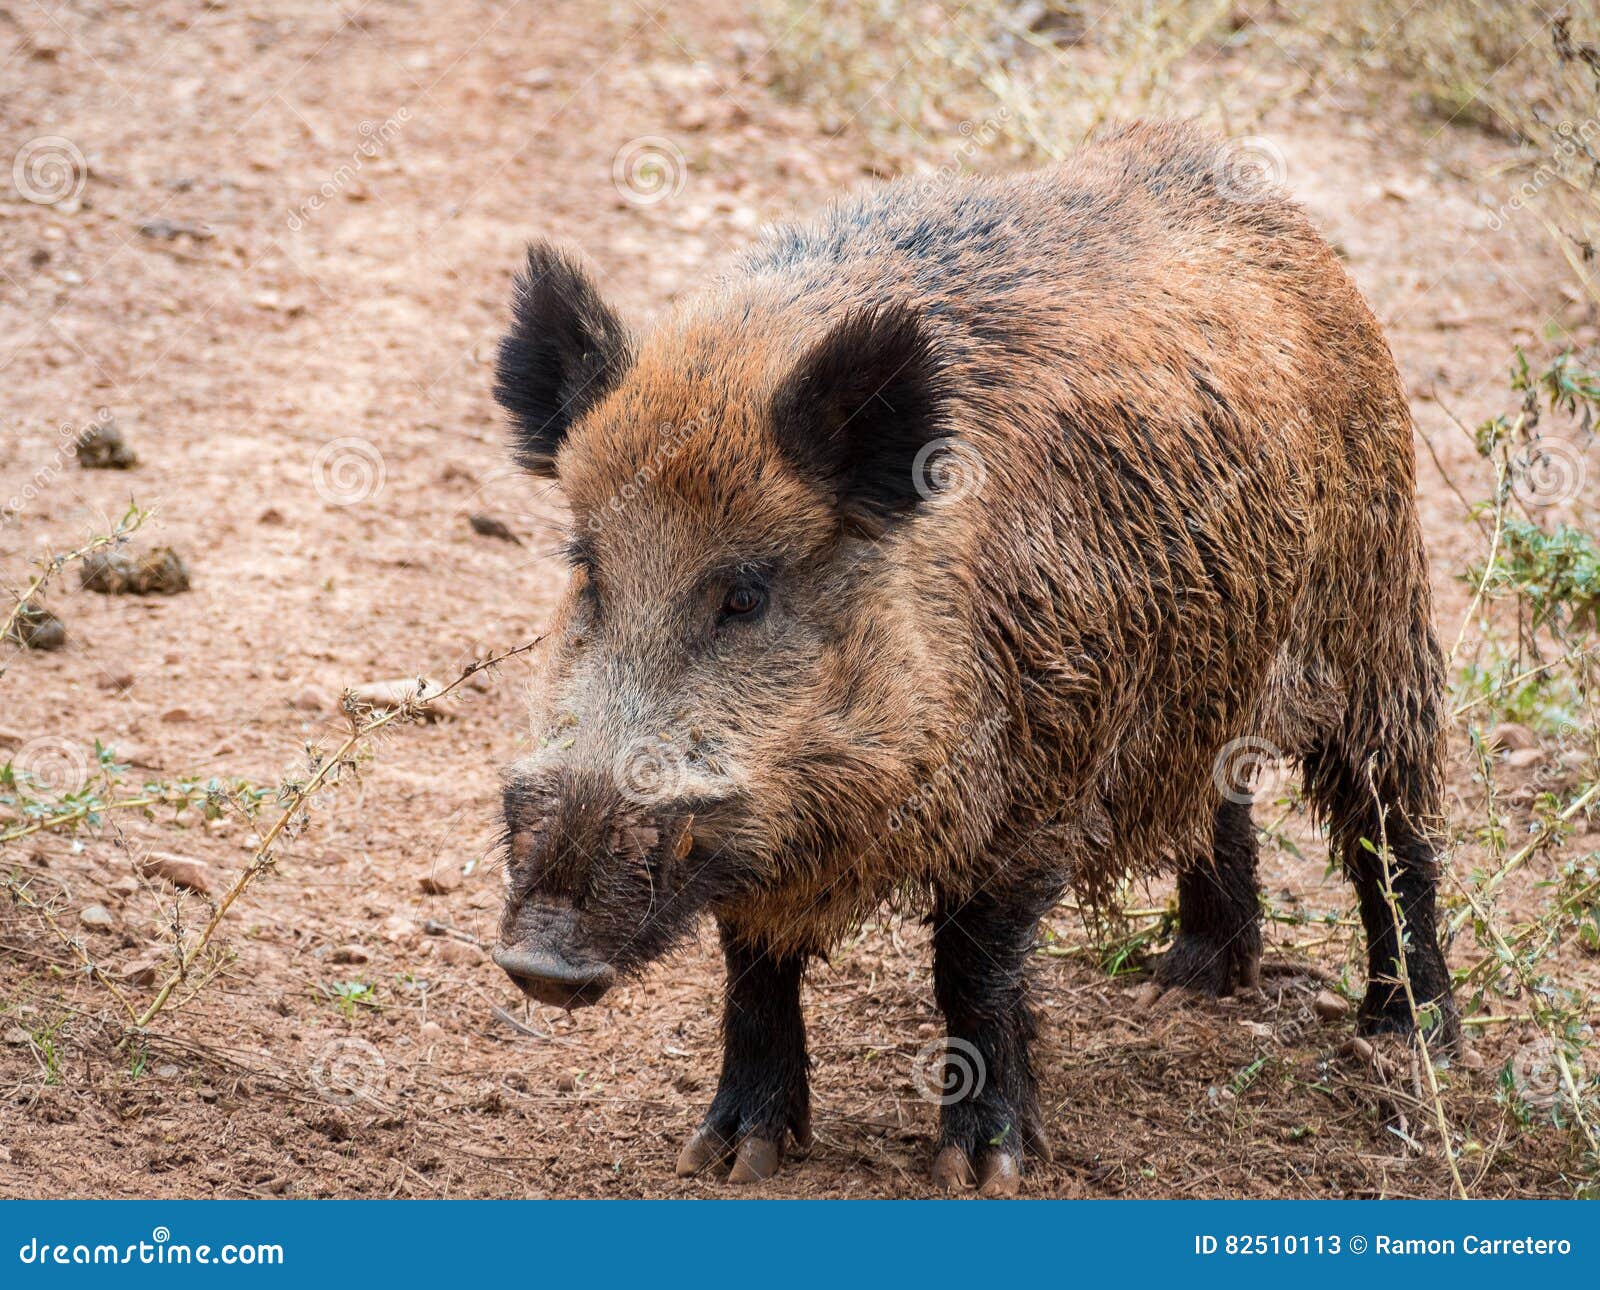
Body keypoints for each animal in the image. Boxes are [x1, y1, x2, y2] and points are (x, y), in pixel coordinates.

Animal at [489, 121, 1456, 1195]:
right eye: (587, 567)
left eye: (744, 594)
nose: (542, 965)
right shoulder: (762, 831)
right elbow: (752, 963)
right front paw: (728, 1156)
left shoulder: (1039, 777)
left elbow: (973, 968)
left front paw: (981, 1169)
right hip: (1219, 664)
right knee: (1221, 791)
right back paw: (1186, 986)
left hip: (1375, 611)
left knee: (1391, 821)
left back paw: (1408, 1039)